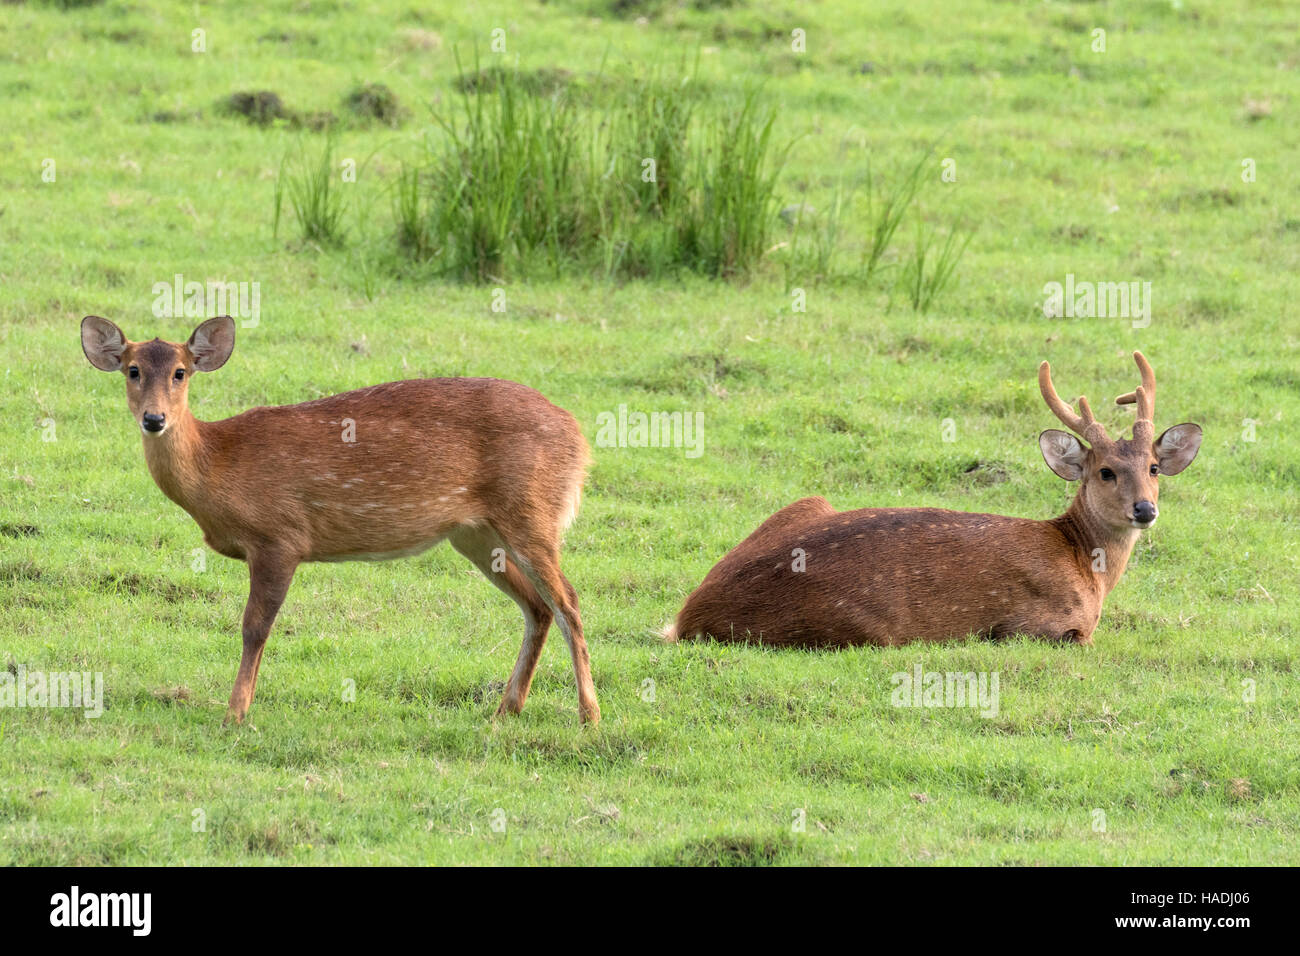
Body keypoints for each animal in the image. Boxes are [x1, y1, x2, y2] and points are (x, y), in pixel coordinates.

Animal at [80, 315, 600, 725]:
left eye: (180, 372)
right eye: (132, 370)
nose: (154, 419)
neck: (218, 463)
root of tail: (579, 439)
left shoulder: (281, 536)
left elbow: (254, 627)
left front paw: (234, 713)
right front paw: (239, 707)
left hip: (531, 511)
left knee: (568, 601)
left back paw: (589, 716)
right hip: (474, 533)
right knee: (537, 607)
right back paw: (506, 710)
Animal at [666, 352, 1202, 648]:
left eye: (1153, 468)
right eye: (1106, 471)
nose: (1145, 509)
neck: (1083, 564)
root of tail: (687, 619)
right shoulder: (1042, 626)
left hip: (806, 502)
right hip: (862, 627)